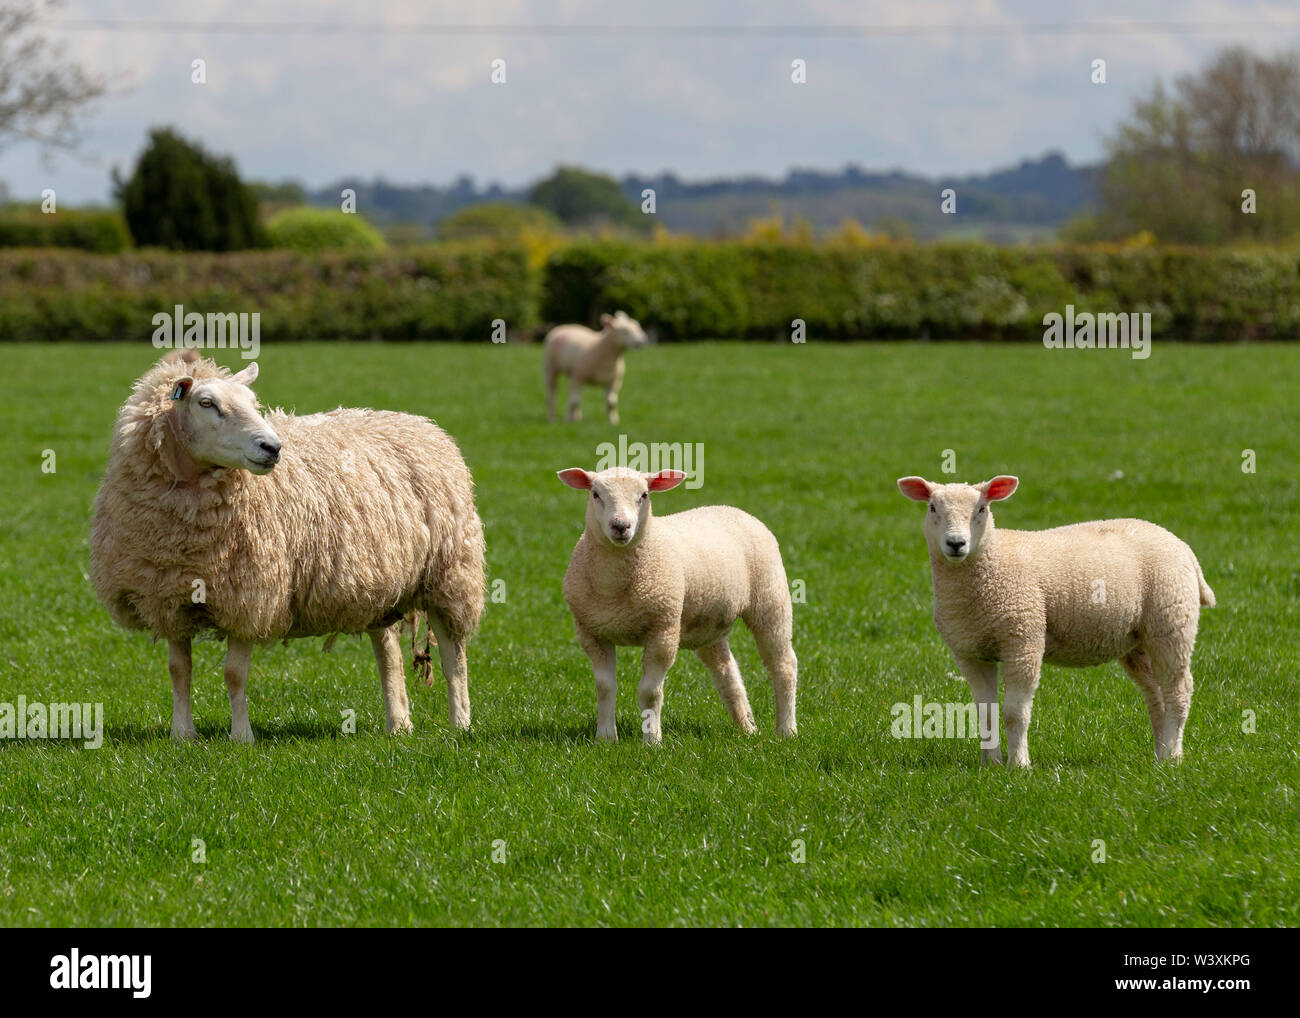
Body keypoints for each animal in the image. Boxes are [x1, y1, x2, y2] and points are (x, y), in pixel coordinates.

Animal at [90, 352, 486, 743]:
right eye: (206, 403)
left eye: (253, 403)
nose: (273, 447)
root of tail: (418, 422)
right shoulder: (167, 599)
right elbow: (178, 670)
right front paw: (182, 736)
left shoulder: (250, 598)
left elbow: (234, 674)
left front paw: (242, 738)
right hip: (379, 580)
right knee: (388, 653)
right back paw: (399, 724)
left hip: (449, 576)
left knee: (454, 658)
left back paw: (461, 724)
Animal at [557, 466, 797, 744]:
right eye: (595, 494)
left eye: (644, 495)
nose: (620, 526)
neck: (612, 586)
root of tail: (732, 508)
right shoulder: (592, 633)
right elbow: (605, 687)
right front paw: (605, 738)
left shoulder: (663, 629)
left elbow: (650, 691)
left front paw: (652, 740)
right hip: (708, 626)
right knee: (726, 673)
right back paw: (747, 728)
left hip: (771, 600)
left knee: (784, 665)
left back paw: (786, 730)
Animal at [897, 474, 1214, 767]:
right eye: (933, 508)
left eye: (982, 509)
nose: (956, 543)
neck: (993, 560)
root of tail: (1183, 547)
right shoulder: (971, 652)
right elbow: (984, 712)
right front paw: (990, 765)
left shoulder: (1024, 639)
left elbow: (1014, 712)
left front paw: (1018, 765)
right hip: (1137, 640)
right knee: (1156, 695)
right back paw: (1160, 754)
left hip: (1172, 623)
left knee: (1178, 690)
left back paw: (1172, 756)